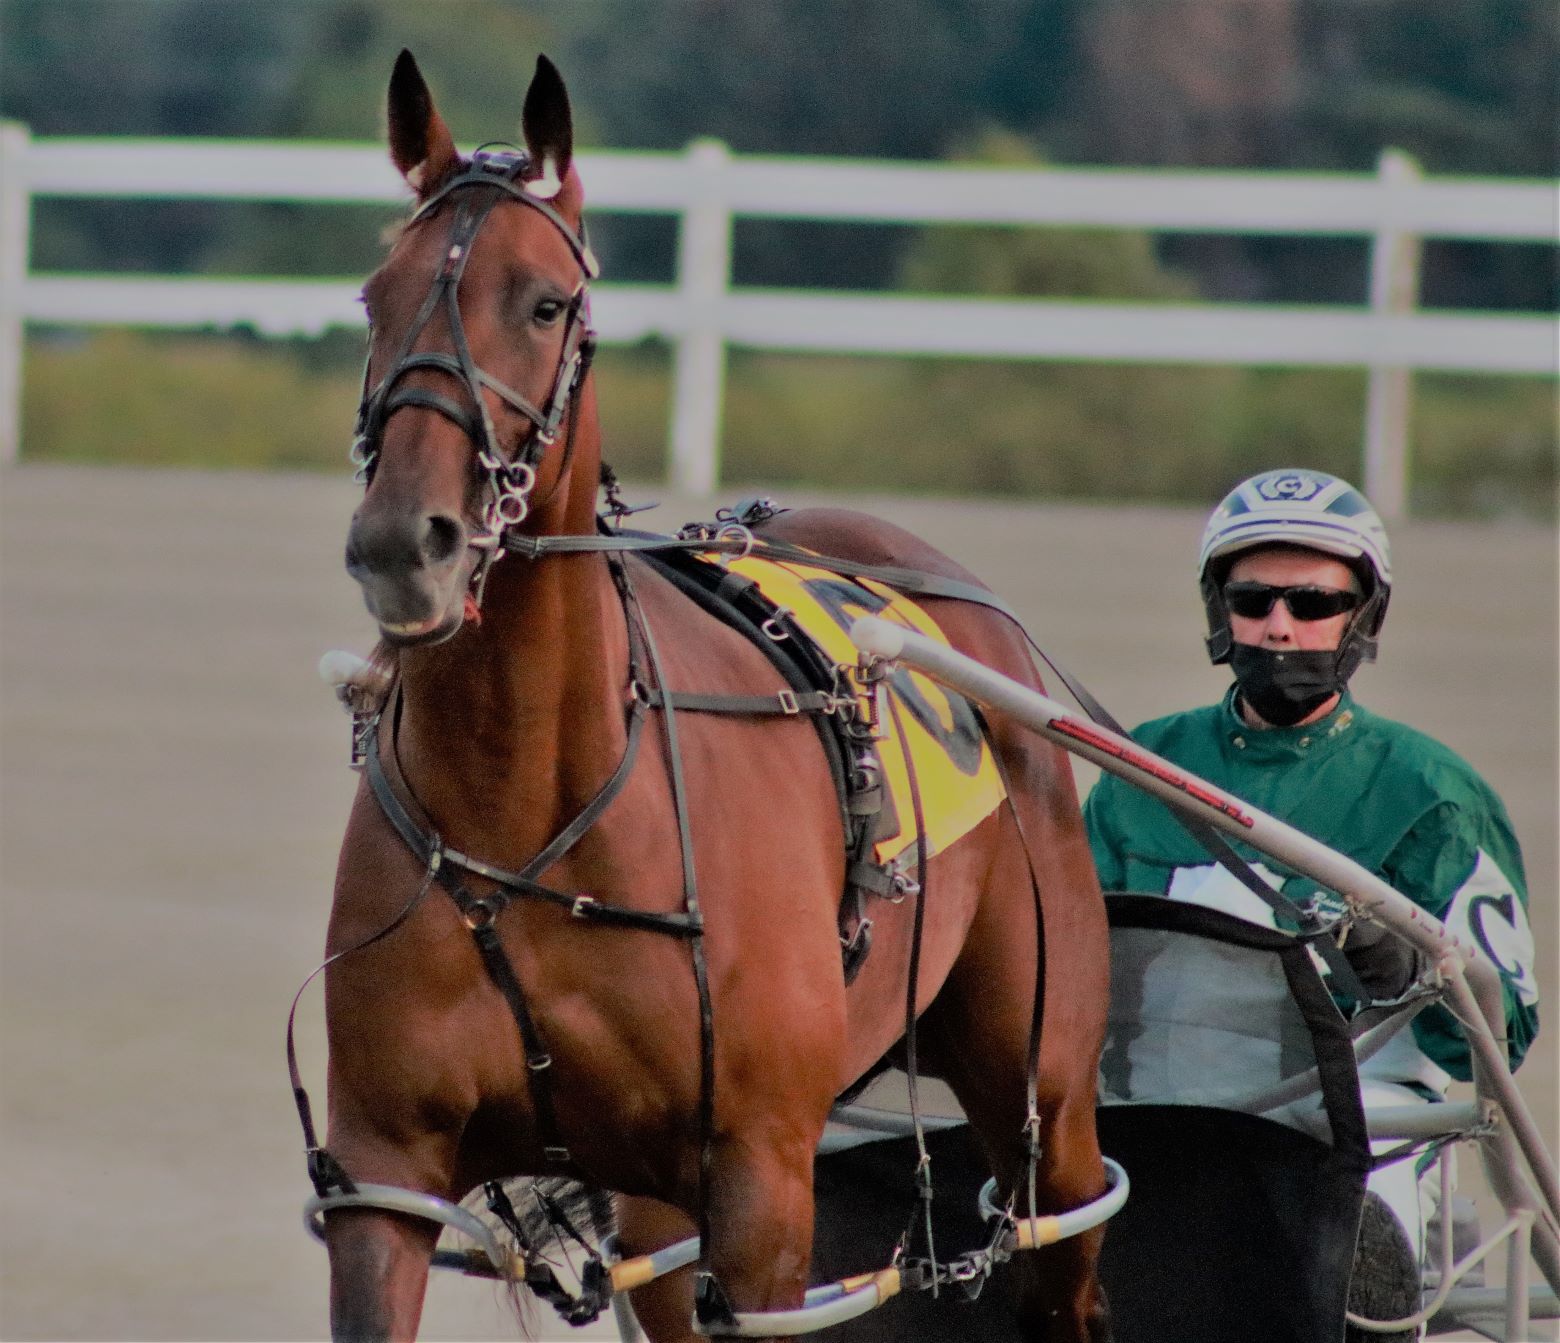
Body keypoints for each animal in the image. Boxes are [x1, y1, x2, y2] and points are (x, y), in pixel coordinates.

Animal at [318, 49, 1112, 1343]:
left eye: (544, 302)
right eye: (373, 299)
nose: (403, 543)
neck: (532, 810)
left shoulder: (761, 1180)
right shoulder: (386, 1173)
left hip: (1042, 1082)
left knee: (1066, 1236)